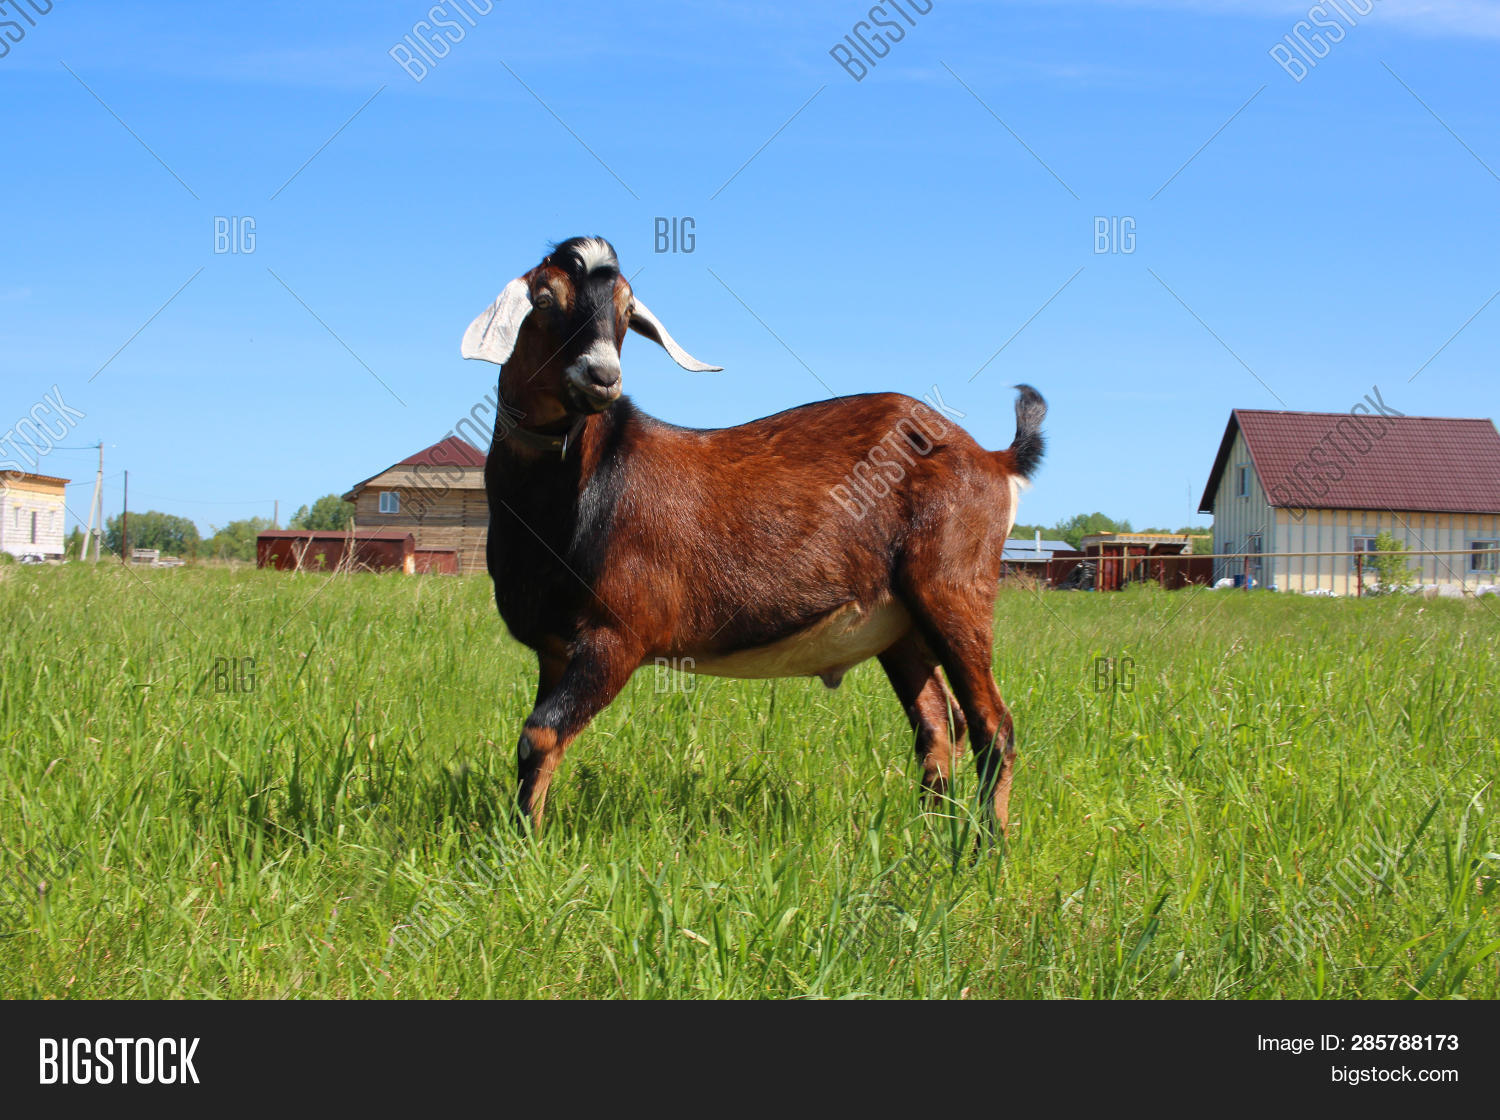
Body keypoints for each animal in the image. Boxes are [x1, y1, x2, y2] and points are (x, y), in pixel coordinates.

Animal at [461, 237, 1045, 834]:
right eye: (543, 299)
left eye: (626, 310)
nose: (602, 376)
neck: (591, 477)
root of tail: (993, 459)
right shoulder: (554, 649)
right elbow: (536, 737)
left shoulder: (615, 635)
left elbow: (540, 734)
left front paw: (522, 842)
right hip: (900, 624)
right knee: (938, 725)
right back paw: (928, 834)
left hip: (953, 587)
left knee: (993, 724)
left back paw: (987, 846)